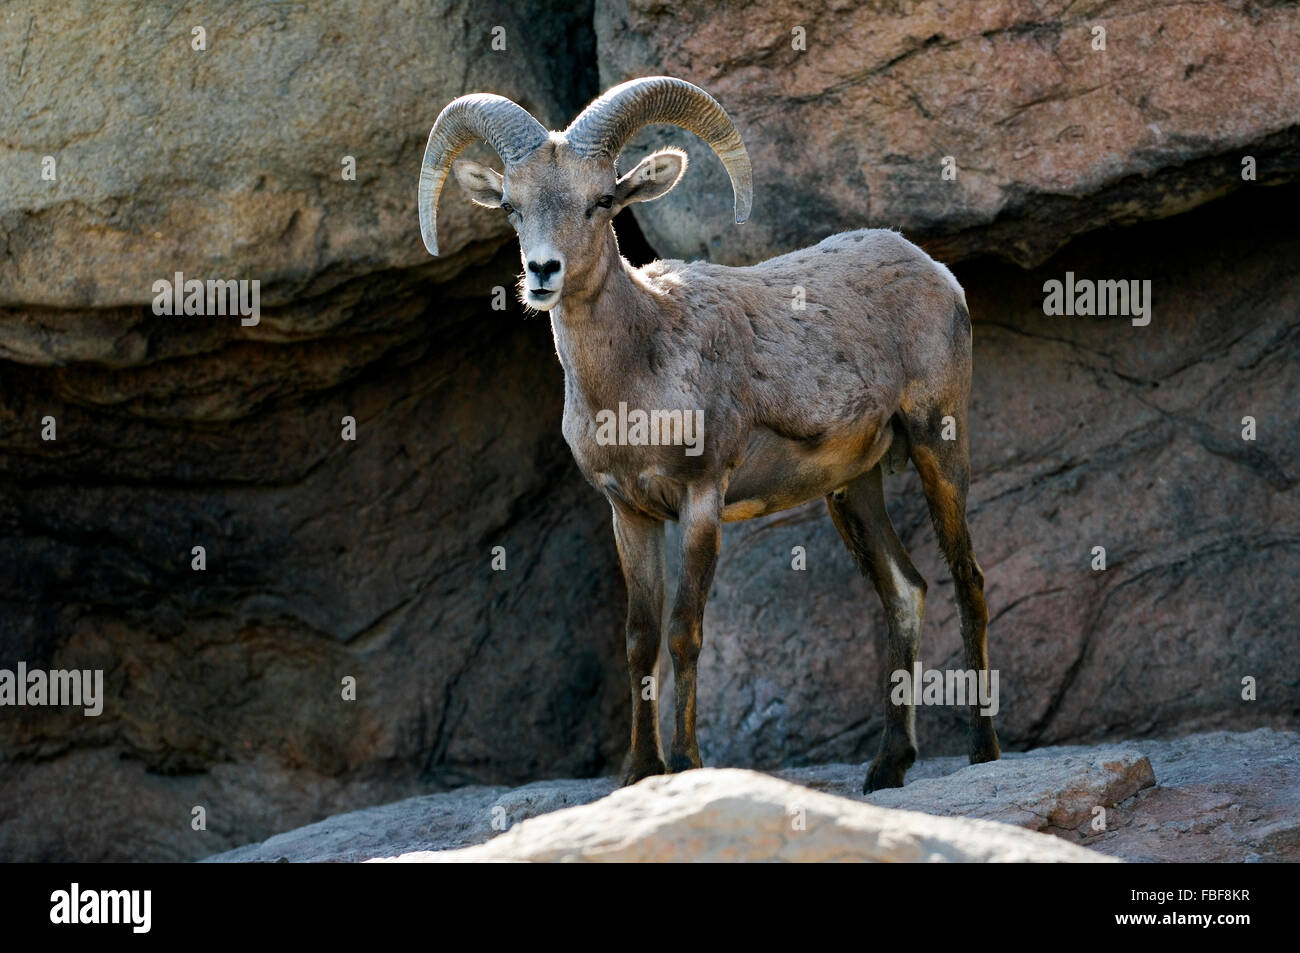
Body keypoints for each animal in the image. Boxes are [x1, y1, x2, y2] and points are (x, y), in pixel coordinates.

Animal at [418, 76, 999, 792]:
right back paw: (887, 767)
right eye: (511, 207)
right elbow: (639, 639)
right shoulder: (630, 514)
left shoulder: (700, 501)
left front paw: (688, 765)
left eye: (601, 201)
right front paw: (640, 774)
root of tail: (935, 272)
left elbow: (683, 633)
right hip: (852, 489)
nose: (543, 272)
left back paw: (983, 750)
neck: (636, 378)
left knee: (967, 578)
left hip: (937, 445)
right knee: (904, 592)